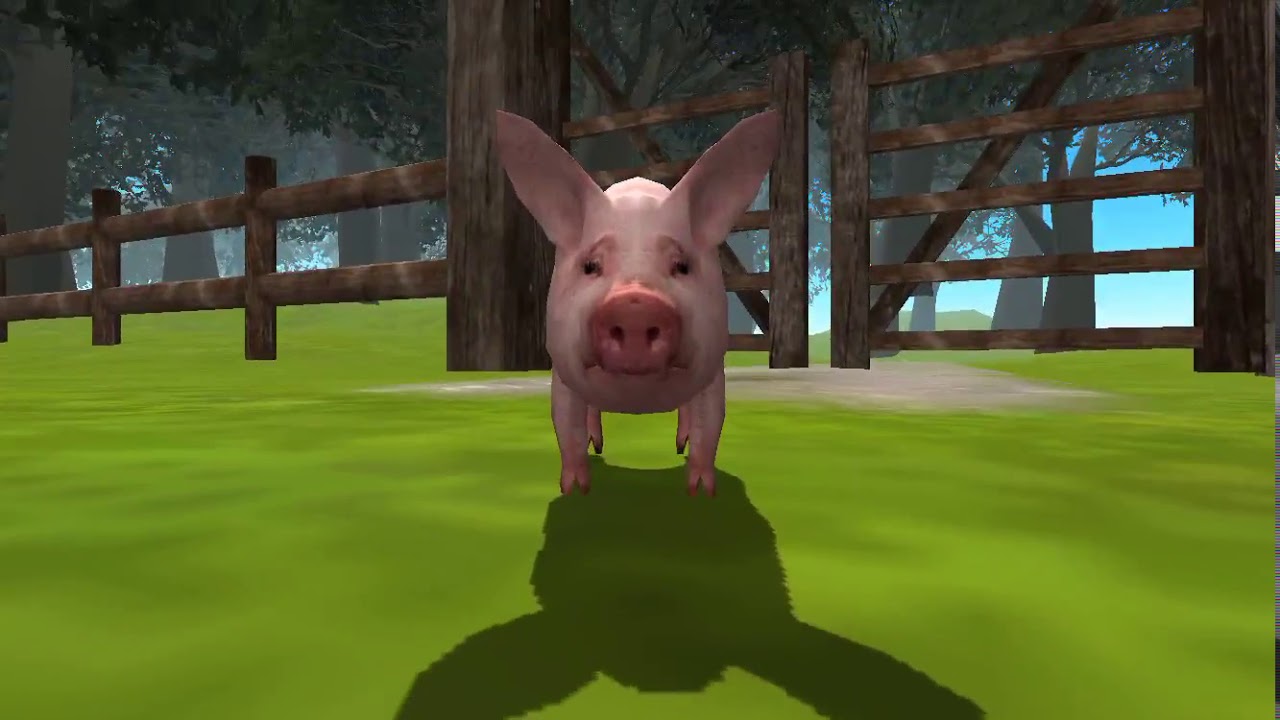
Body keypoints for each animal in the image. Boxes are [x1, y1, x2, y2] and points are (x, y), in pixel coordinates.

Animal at [493, 109, 780, 497]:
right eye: (590, 266)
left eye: (682, 266)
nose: (635, 303)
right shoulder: (562, 367)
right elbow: (565, 424)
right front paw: (575, 490)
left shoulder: (712, 365)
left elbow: (710, 422)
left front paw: (701, 491)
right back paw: (598, 445)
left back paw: (679, 445)